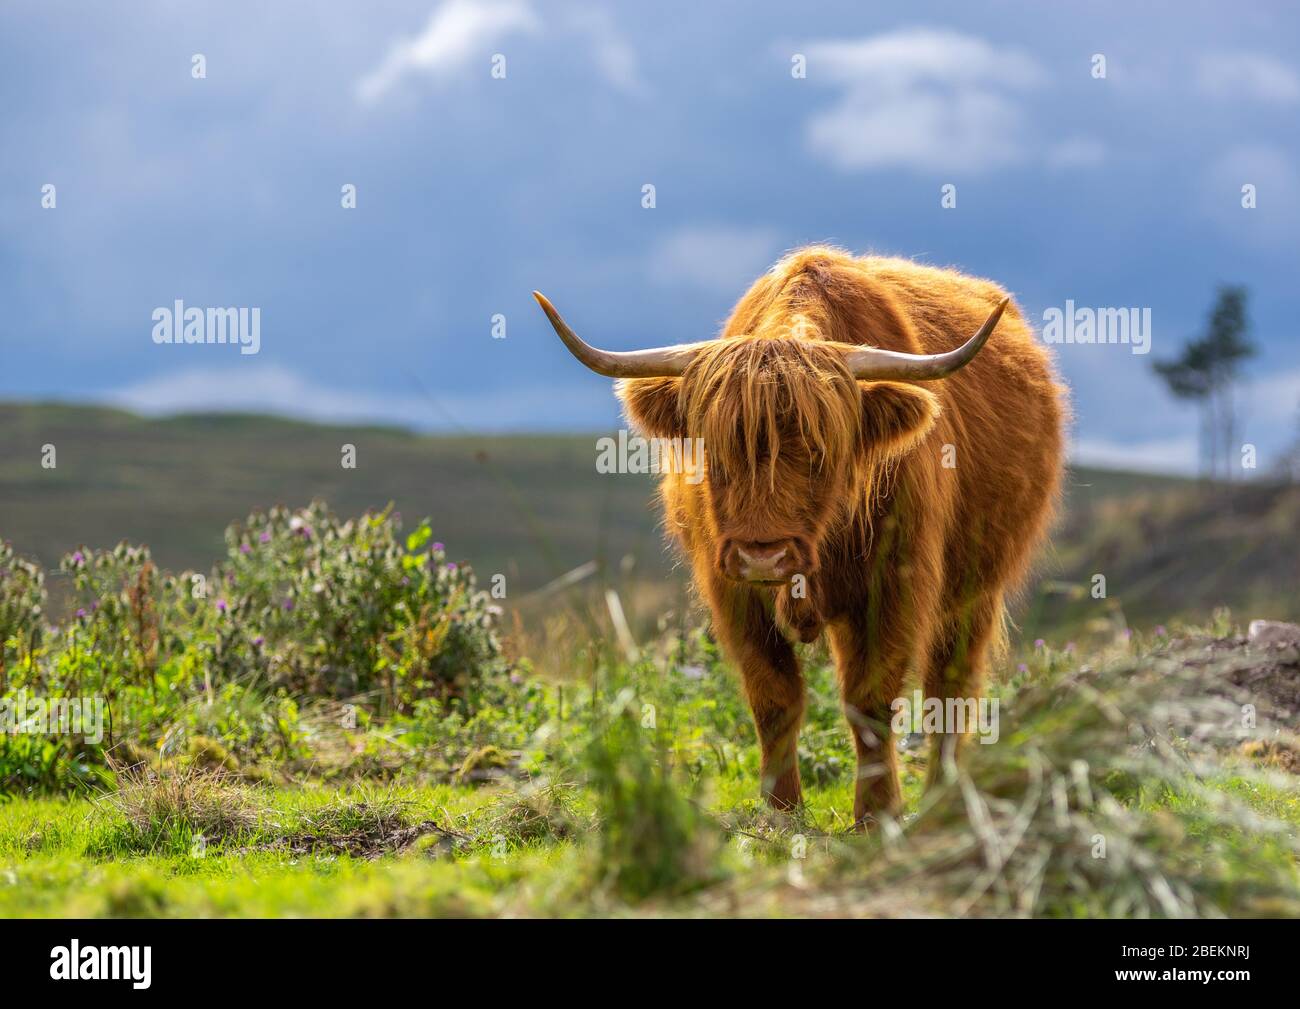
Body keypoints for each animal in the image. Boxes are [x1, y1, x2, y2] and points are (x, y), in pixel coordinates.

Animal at [535, 246, 1066, 827]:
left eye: (820, 451)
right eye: (715, 452)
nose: (764, 556)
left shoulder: (896, 584)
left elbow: (871, 699)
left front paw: (875, 814)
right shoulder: (731, 591)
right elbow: (773, 696)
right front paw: (780, 811)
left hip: (976, 590)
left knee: (950, 691)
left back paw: (945, 800)